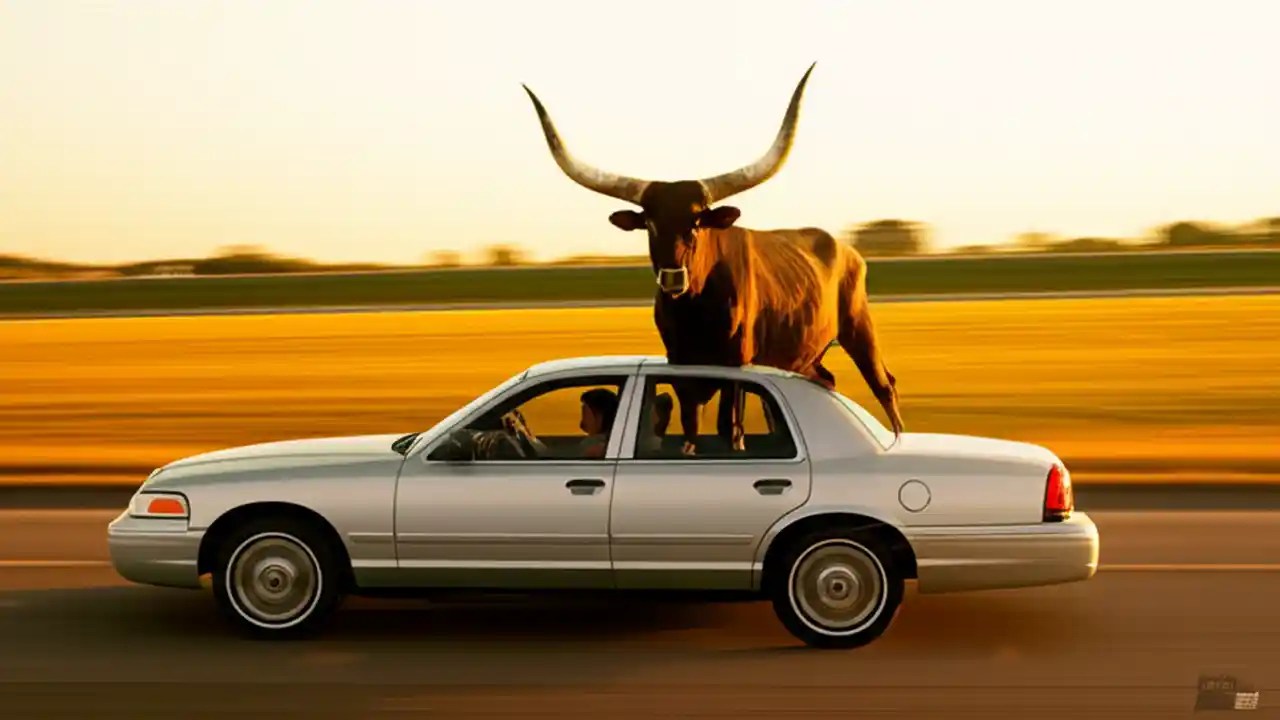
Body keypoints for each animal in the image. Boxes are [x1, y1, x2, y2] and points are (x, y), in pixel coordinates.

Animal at [522, 63, 904, 453]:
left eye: (696, 223)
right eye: (650, 224)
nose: (673, 278)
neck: (695, 308)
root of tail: (846, 249)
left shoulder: (737, 363)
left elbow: (729, 427)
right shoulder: (680, 364)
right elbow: (691, 424)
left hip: (859, 326)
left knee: (883, 384)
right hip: (803, 353)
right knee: (827, 379)